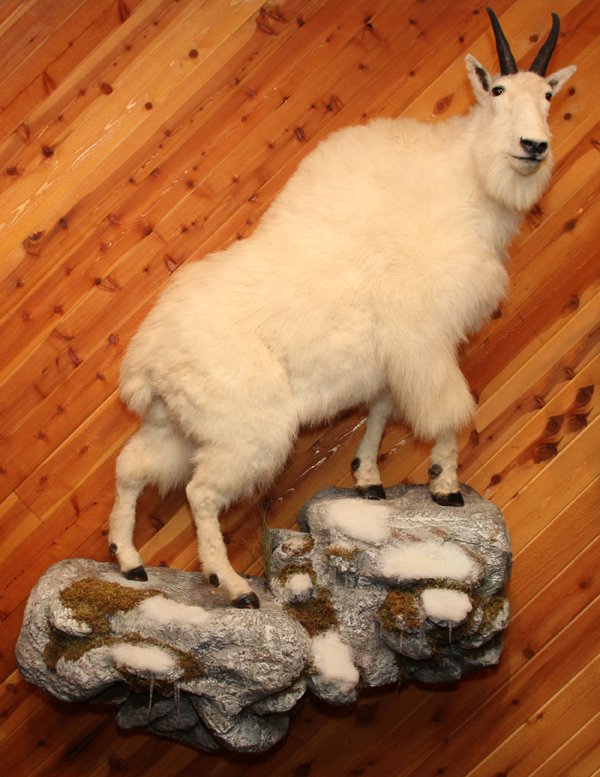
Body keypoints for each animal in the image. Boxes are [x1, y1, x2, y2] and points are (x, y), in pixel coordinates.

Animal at [108, 9, 575, 608]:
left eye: (548, 95)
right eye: (497, 90)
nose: (533, 146)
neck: (463, 186)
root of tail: (145, 363)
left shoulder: (390, 355)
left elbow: (379, 407)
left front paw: (367, 478)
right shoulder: (426, 340)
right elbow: (448, 410)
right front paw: (445, 485)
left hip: (175, 425)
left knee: (131, 469)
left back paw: (129, 562)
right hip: (247, 430)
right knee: (202, 492)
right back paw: (231, 585)